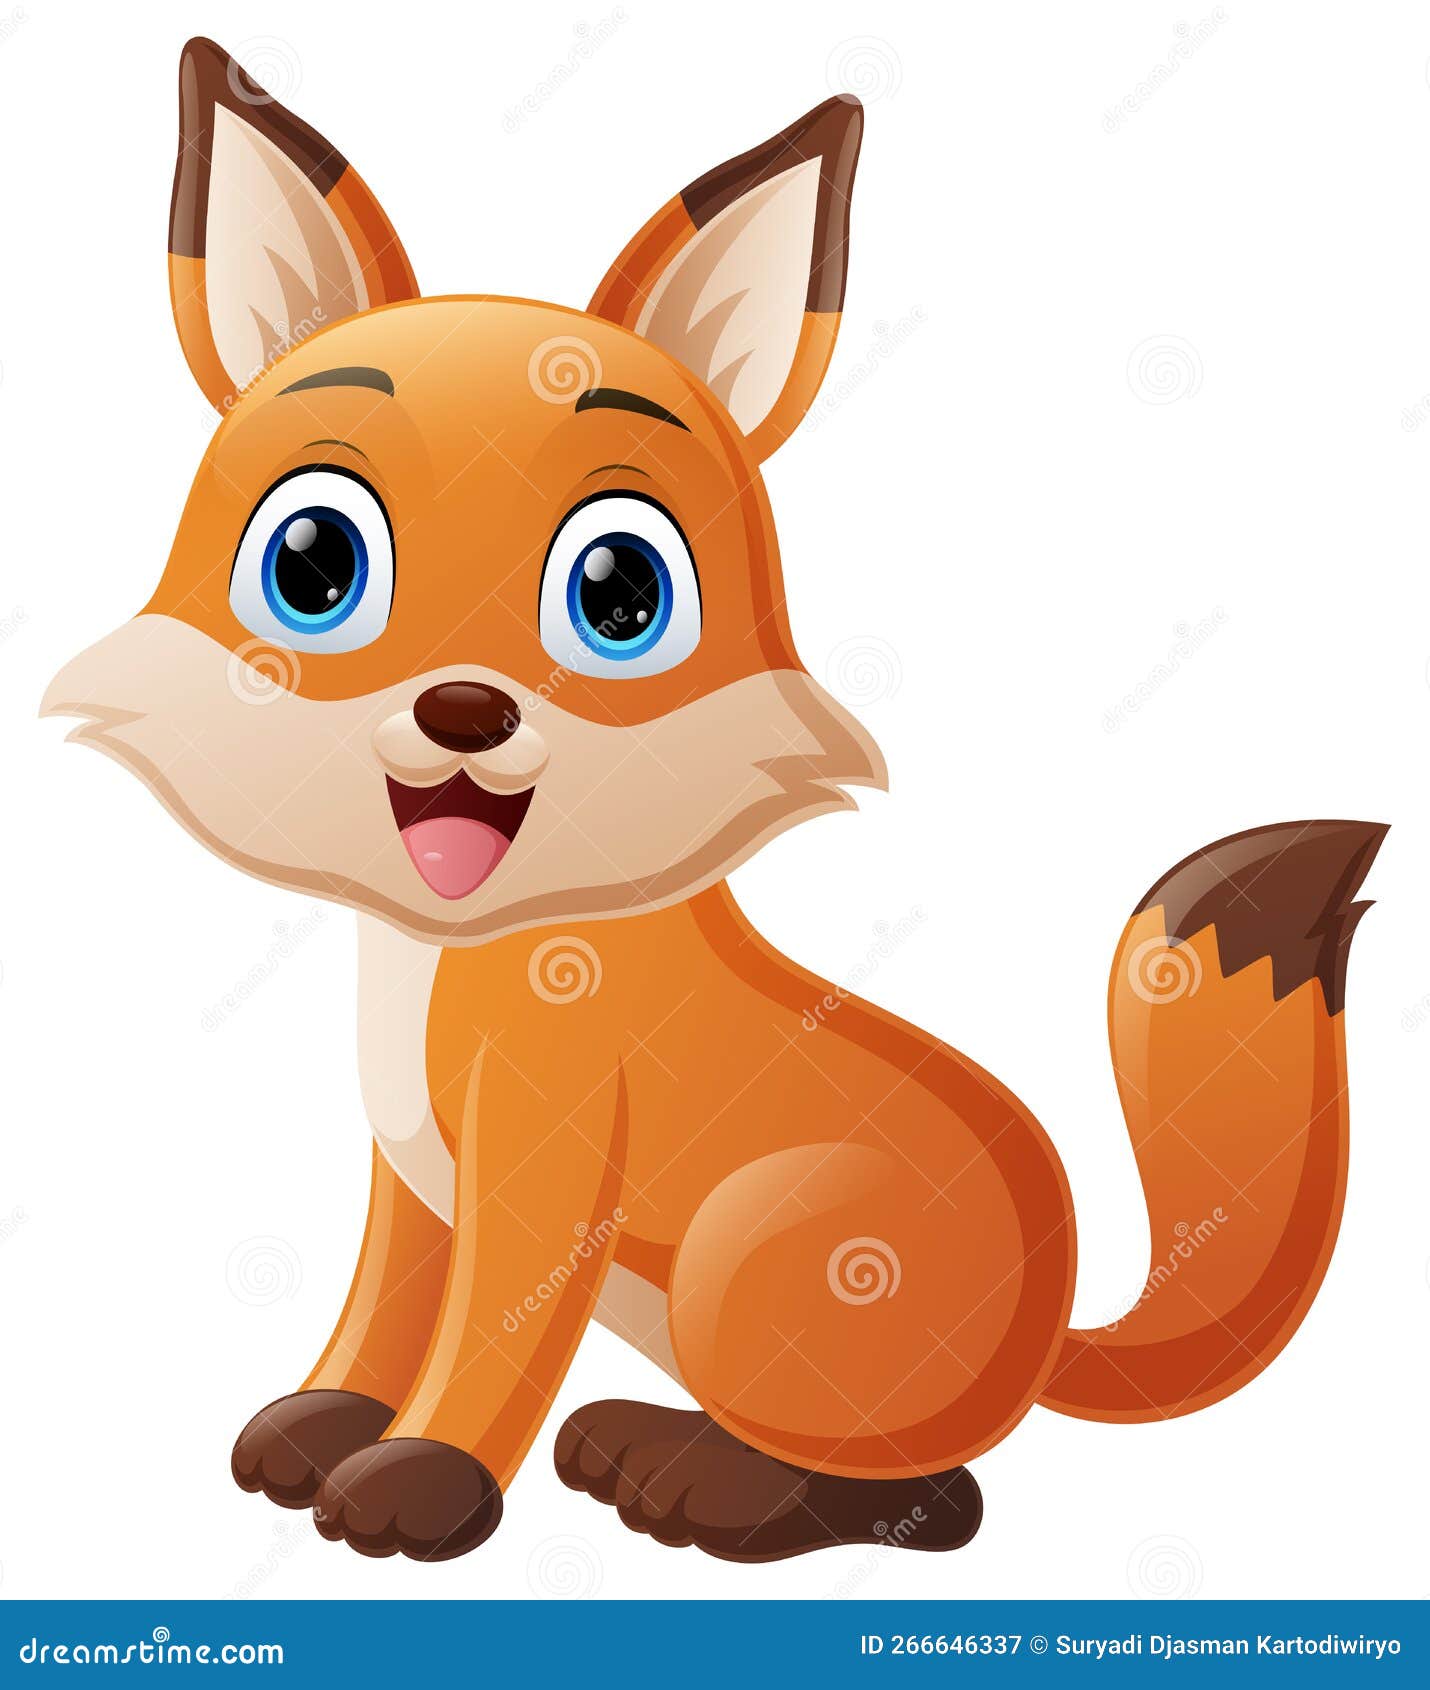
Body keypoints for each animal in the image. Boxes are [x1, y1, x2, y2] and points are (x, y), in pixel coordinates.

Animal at [43, 38, 1385, 1565]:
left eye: (621, 590)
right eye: (313, 561)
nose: (465, 712)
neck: (465, 952)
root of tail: (1053, 1326)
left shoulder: (545, 1168)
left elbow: (485, 1344)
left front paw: (420, 1477)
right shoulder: (412, 1177)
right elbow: (383, 1308)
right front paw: (326, 1420)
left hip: (750, 1255)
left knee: (930, 1496)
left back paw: (692, 1478)